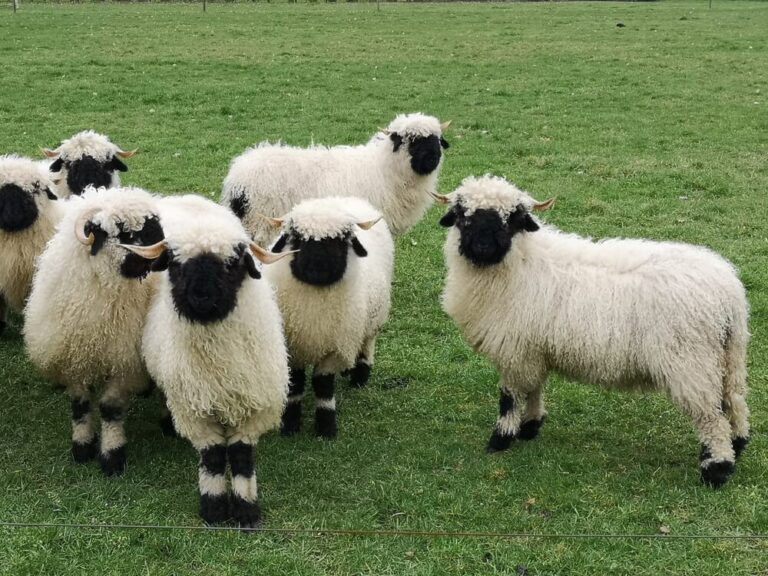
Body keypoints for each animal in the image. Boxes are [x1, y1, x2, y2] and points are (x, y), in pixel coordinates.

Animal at [24, 186, 164, 476]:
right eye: (125, 233)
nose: (164, 254)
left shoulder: (122, 361)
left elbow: (109, 409)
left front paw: (112, 455)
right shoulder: (73, 359)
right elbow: (80, 405)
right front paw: (82, 445)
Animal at [122, 195, 291, 528]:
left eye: (232, 264)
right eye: (175, 264)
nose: (200, 297)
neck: (218, 363)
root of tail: (183, 198)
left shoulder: (254, 407)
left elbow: (241, 458)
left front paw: (247, 513)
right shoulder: (195, 410)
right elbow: (212, 458)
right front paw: (213, 511)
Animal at [221, 112, 450, 245]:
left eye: (437, 140)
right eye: (412, 140)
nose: (433, 158)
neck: (384, 168)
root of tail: (237, 177)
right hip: (262, 222)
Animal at [259, 197, 394, 439]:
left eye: (341, 240)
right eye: (298, 239)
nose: (318, 269)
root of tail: (345, 198)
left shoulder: (334, 349)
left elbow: (323, 387)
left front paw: (326, 428)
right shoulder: (292, 347)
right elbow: (295, 386)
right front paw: (290, 425)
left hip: (373, 318)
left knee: (367, 343)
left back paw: (360, 375)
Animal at [436, 175, 750, 488]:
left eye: (511, 219)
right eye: (463, 216)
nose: (483, 246)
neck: (519, 264)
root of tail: (728, 293)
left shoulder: (515, 350)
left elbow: (509, 398)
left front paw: (501, 438)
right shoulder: (534, 349)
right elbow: (535, 388)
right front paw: (530, 426)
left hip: (691, 362)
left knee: (712, 417)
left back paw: (717, 469)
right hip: (729, 357)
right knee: (734, 402)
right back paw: (738, 444)